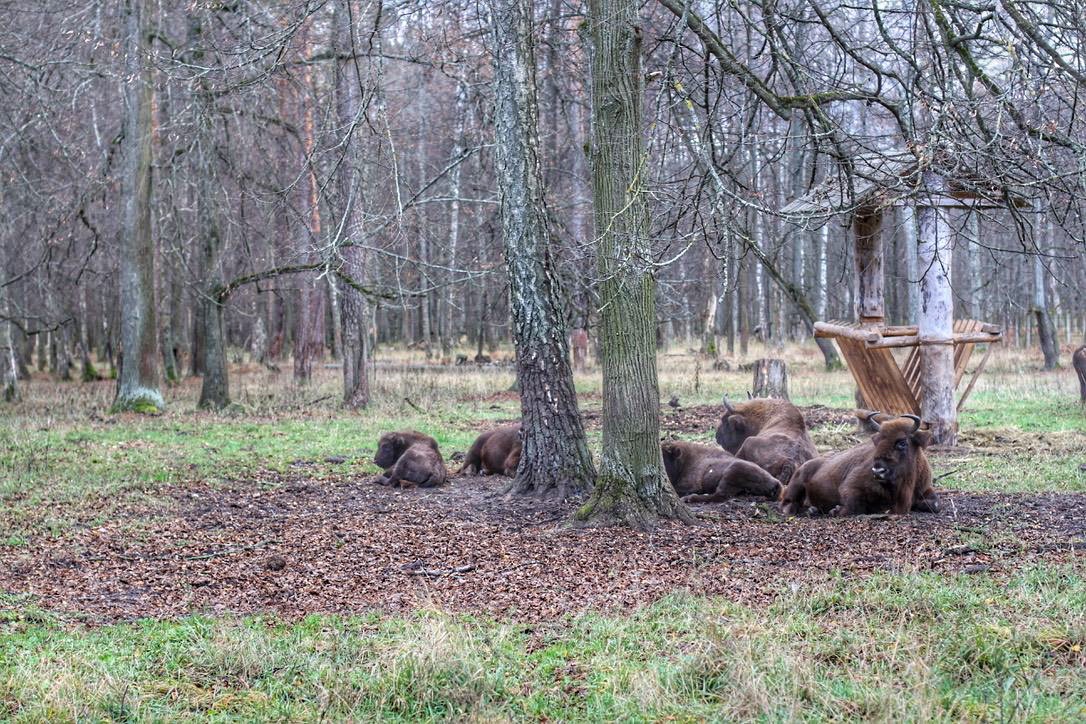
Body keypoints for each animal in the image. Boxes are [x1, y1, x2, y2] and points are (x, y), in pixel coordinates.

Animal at [655, 442, 786, 503]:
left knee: (719, 496)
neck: (684, 460)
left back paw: (689, 498)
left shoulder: (690, 485)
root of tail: (775, 481)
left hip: (733, 470)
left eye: (664, 457)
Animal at [781, 410, 942, 518]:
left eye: (902, 442)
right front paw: (835, 510)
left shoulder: (924, 488)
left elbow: (935, 505)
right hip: (796, 483)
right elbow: (853, 505)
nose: (878, 471)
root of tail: (804, 466)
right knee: (786, 504)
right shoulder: (851, 486)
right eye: (876, 441)